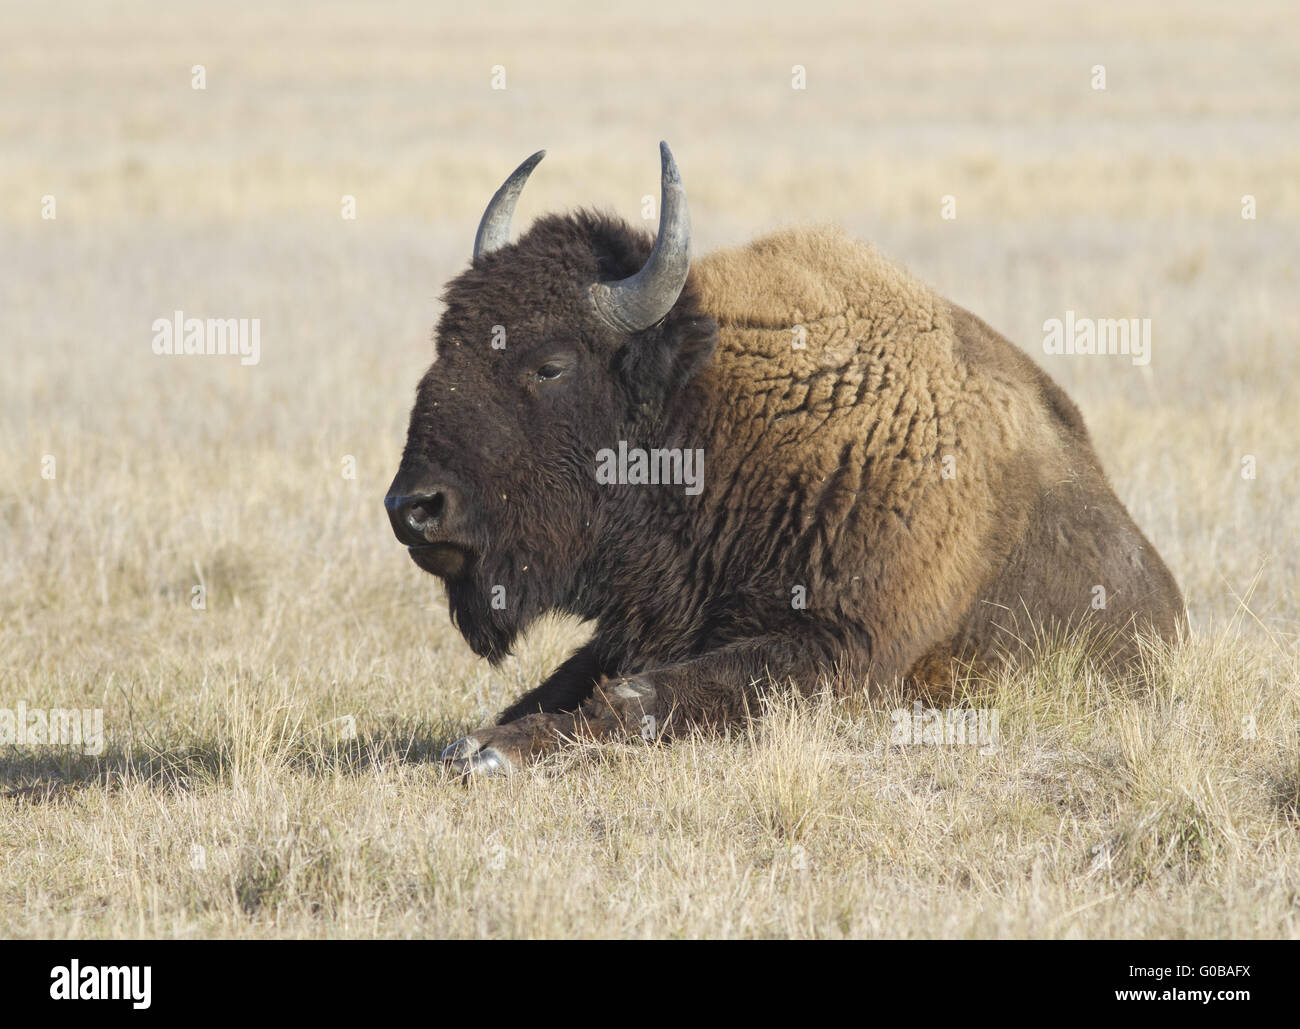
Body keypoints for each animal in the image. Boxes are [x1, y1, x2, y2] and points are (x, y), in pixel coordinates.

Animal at [385, 142, 1185, 777]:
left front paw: (495, 752)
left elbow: (643, 696)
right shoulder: (634, 629)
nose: (412, 507)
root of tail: (1168, 605)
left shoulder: (841, 648)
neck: (717, 420)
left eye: (550, 364)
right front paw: (474, 739)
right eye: (441, 345)